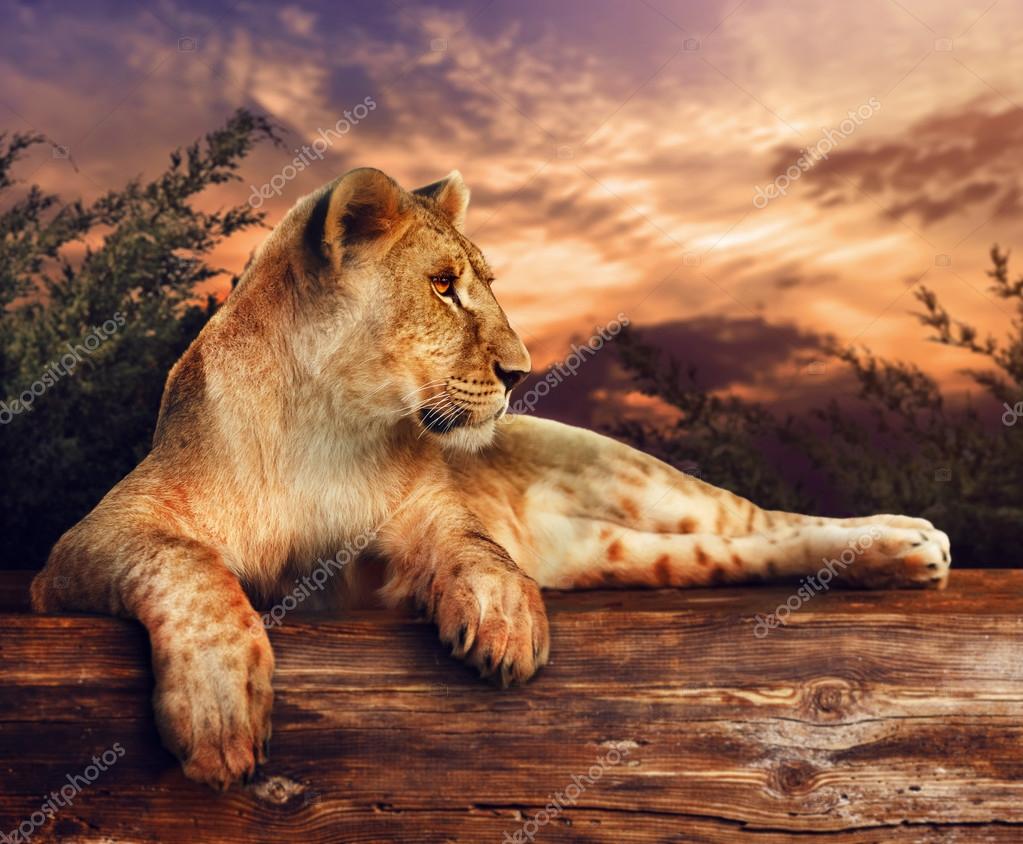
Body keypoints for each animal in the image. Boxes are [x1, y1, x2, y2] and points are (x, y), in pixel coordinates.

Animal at [30, 168, 951, 790]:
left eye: (487, 284)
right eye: (442, 287)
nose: (520, 371)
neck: (326, 422)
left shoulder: (417, 517)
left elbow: (464, 539)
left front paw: (501, 616)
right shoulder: (86, 542)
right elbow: (187, 566)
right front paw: (220, 714)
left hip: (644, 481)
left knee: (763, 520)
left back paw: (908, 542)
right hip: (623, 552)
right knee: (749, 553)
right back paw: (900, 553)